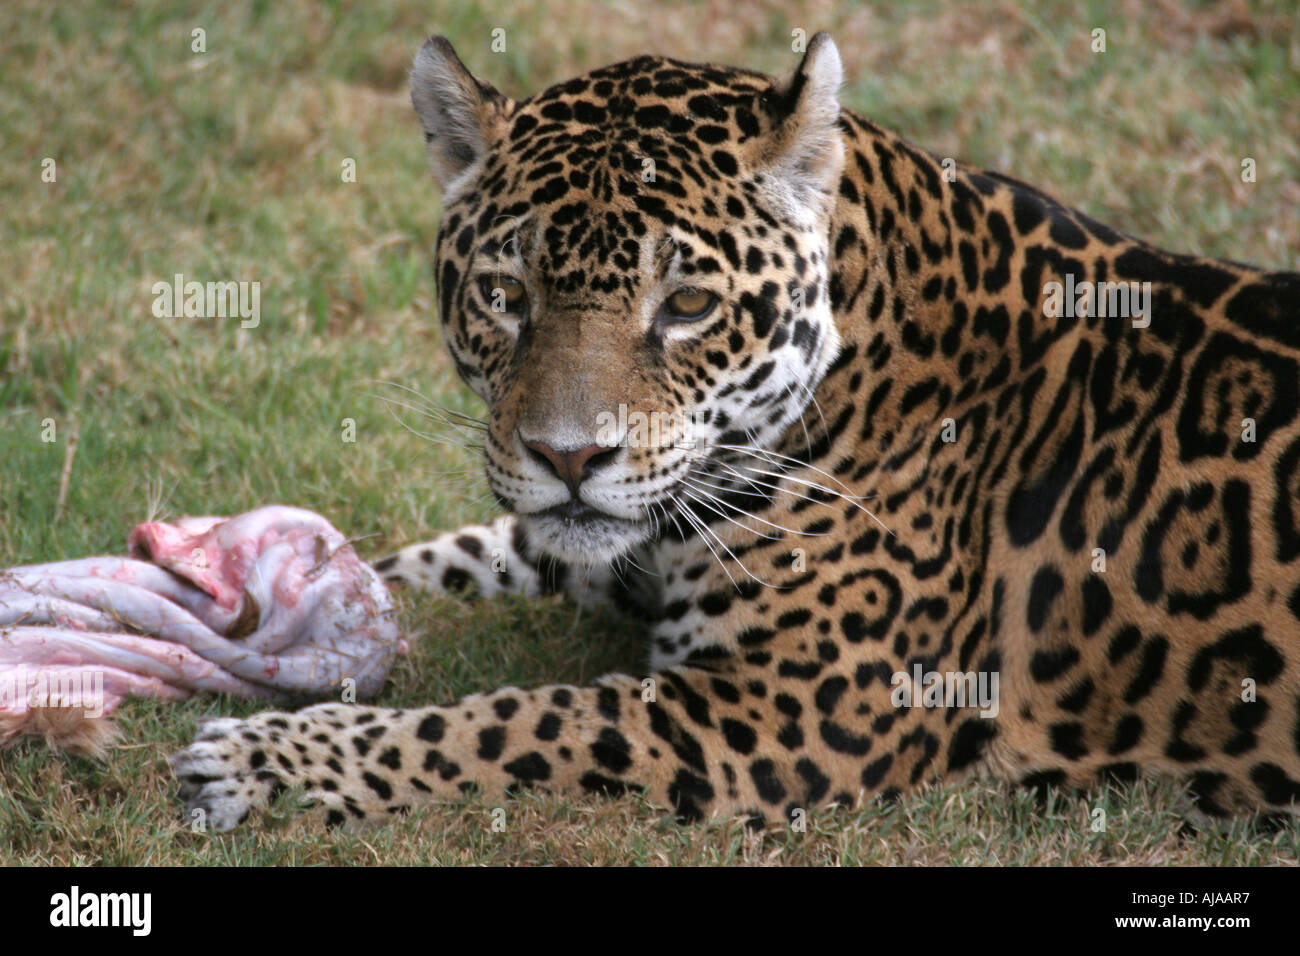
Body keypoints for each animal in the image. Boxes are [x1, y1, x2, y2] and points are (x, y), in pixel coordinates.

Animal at [171, 32, 1300, 831]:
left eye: (685, 305)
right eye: (504, 294)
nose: (568, 456)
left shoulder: (778, 715)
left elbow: (507, 724)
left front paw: (258, 759)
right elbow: (445, 558)